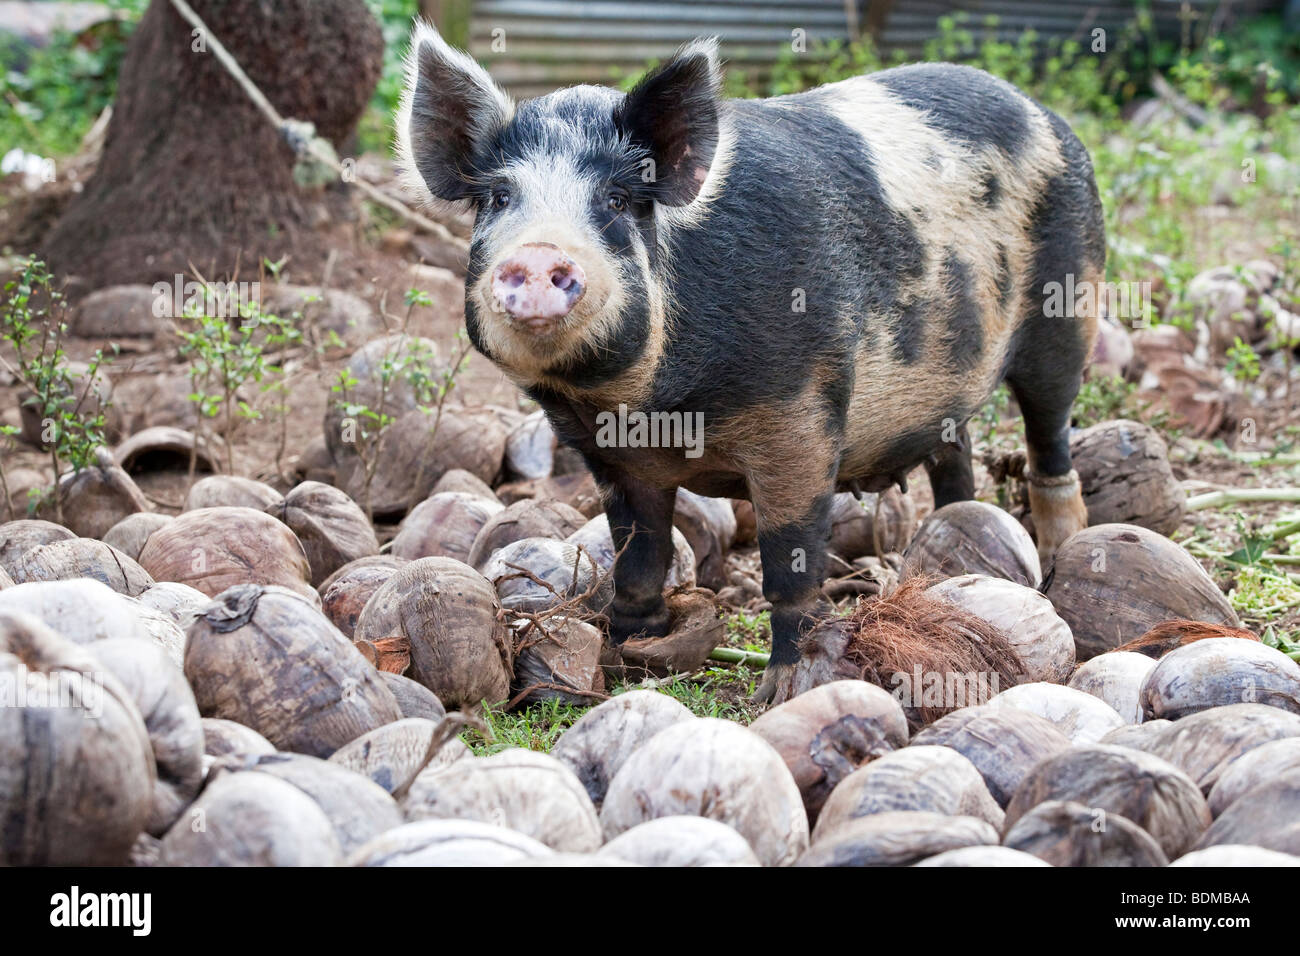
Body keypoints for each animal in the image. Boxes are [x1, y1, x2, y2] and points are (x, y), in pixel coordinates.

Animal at [397, 23, 1105, 702]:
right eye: (498, 198)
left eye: (618, 200)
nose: (540, 255)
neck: (649, 410)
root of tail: (1043, 112)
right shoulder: (613, 460)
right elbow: (639, 556)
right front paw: (626, 652)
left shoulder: (800, 417)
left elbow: (789, 558)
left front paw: (783, 687)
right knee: (955, 455)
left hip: (1070, 308)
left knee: (1050, 432)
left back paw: (1059, 550)